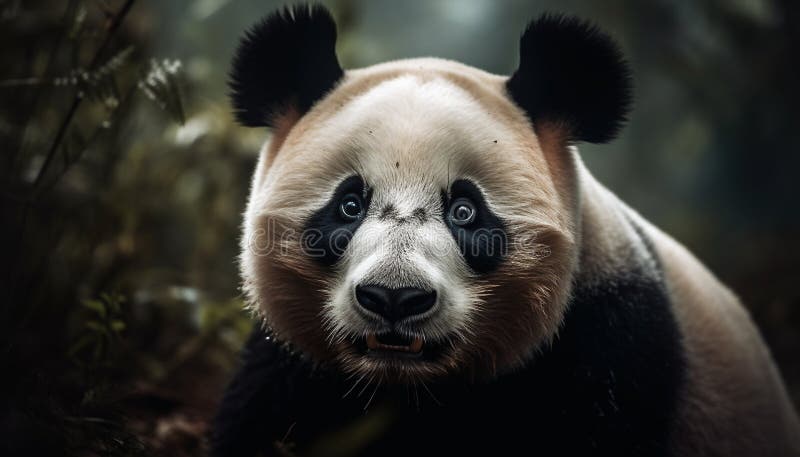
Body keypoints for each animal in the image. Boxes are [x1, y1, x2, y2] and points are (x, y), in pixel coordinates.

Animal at [213, 4, 800, 456]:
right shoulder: (291, 371)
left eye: (465, 212)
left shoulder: (609, 352)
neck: (410, 389)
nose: (395, 298)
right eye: (350, 205)